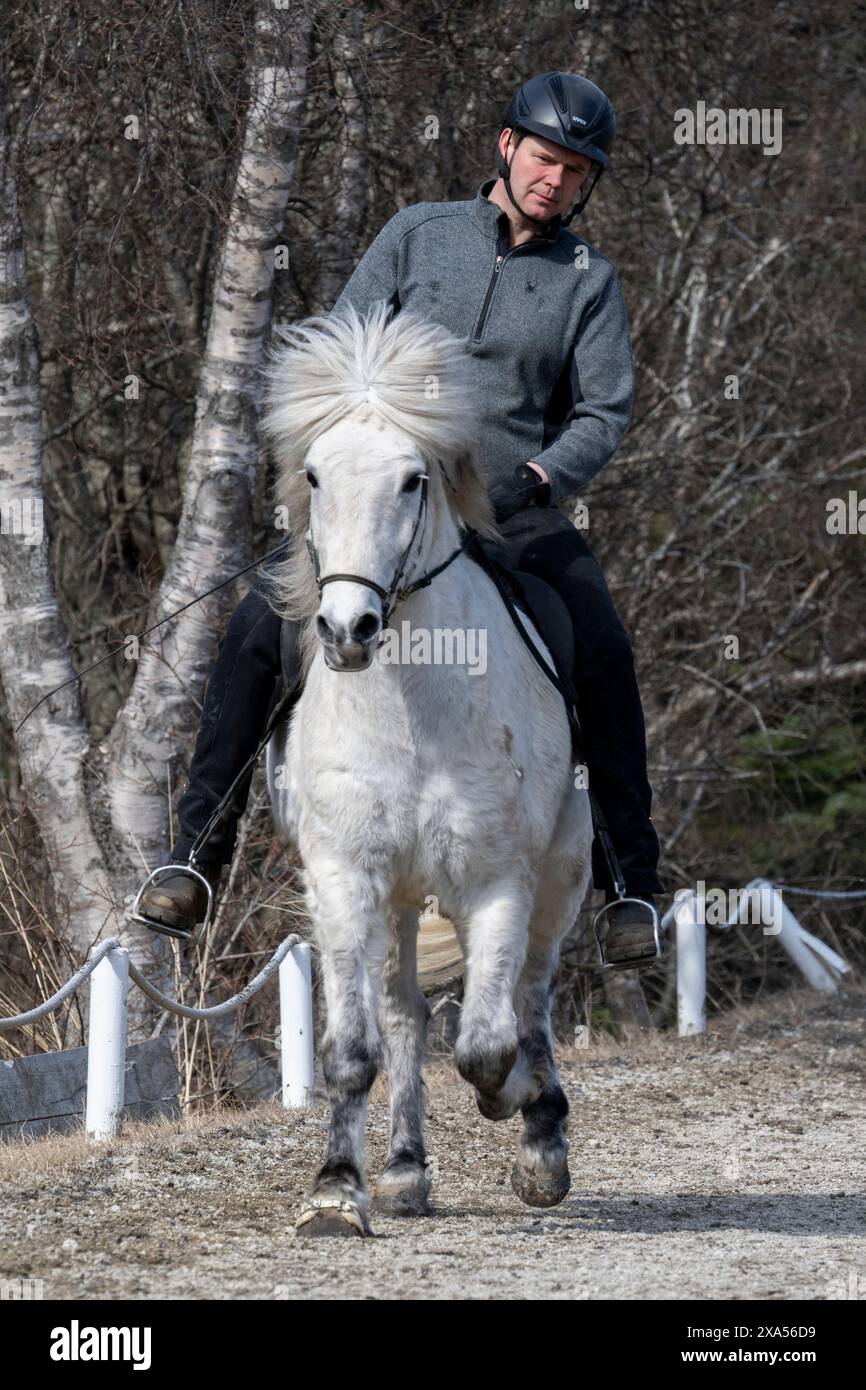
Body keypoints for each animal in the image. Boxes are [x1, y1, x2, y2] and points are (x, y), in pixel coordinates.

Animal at [261, 299, 593, 1236]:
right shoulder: (346, 875)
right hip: (401, 896)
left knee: (530, 997)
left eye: (413, 479)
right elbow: (353, 1048)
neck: (408, 712)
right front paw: (338, 1191)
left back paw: (539, 1138)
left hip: (562, 873)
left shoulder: (500, 880)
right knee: (406, 1012)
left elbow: (485, 1044)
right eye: (313, 475)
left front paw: (514, 1105)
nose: (348, 630)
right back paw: (405, 1171)